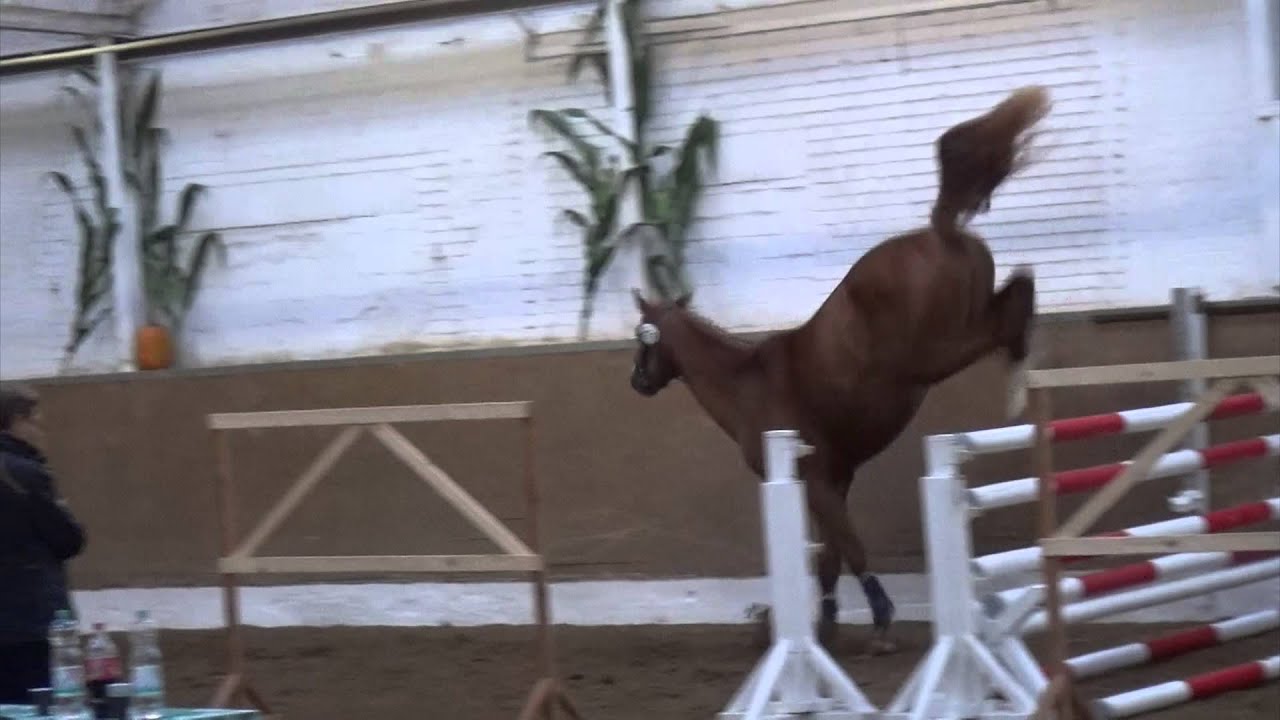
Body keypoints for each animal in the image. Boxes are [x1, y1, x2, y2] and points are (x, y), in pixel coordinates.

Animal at [627, 85, 1051, 653]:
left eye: (642, 337)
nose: (638, 381)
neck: (747, 383)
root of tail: (940, 233)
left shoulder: (814, 478)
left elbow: (849, 548)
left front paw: (881, 621)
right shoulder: (835, 476)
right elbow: (830, 556)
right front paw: (827, 625)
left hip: (933, 355)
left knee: (1006, 323)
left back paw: (1018, 379)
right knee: (1021, 288)